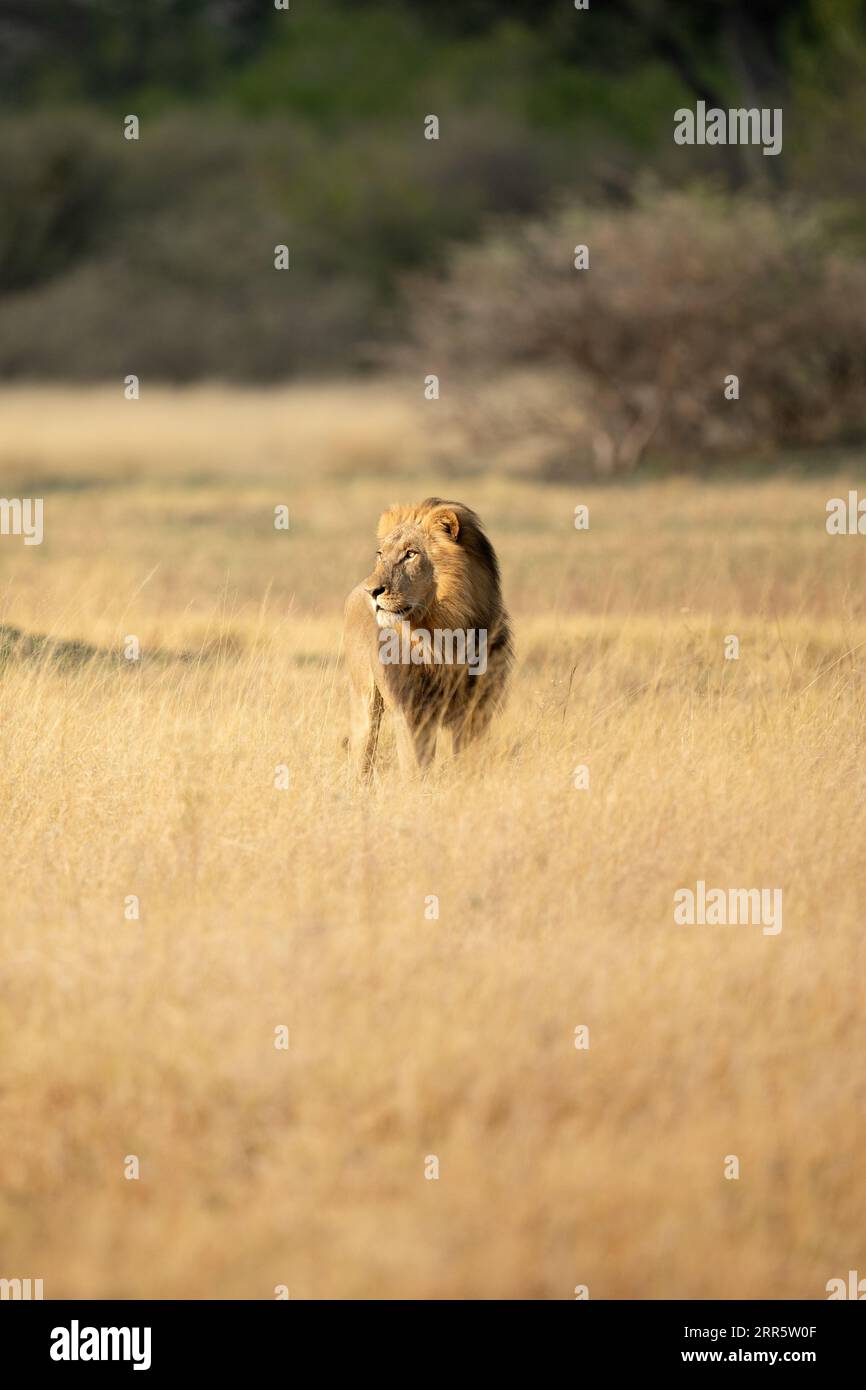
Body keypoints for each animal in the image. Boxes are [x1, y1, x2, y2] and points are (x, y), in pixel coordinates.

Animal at [343, 498, 513, 776]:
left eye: (410, 554)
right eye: (381, 554)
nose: (372, 591)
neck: (444, 632)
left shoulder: (475, 711)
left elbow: (469, 763)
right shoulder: (411, 709)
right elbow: (415, 767)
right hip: (364, 701)